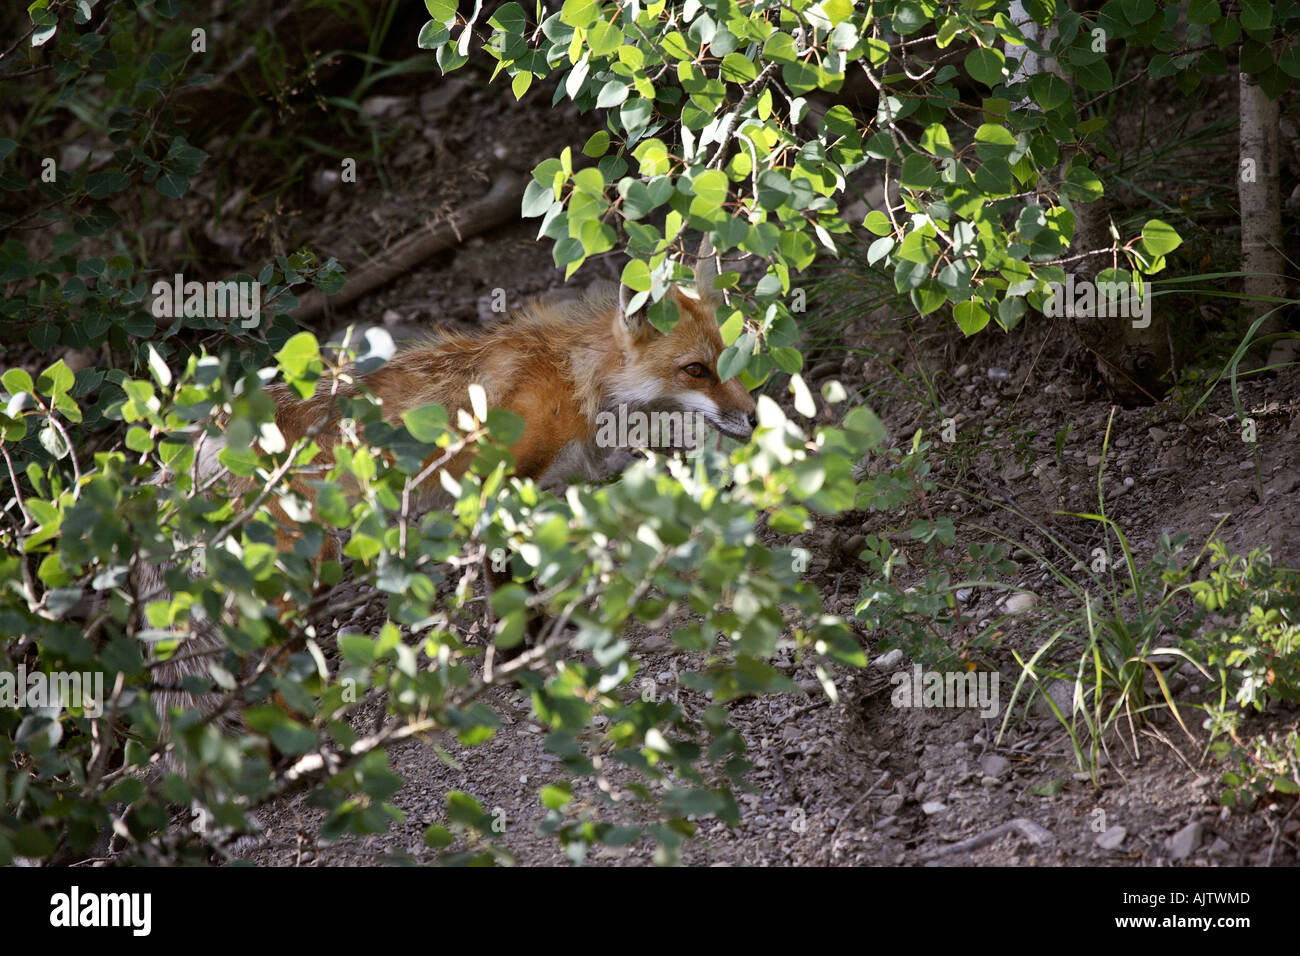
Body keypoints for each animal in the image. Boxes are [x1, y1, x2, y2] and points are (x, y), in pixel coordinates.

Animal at [142, 251, 757, 733]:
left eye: (730, 357)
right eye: (696, 370)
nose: (755, 418)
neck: (577, 378)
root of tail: (208, 430)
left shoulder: (541, 489)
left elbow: (530, 582)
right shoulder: (501, 484)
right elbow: (507, 587)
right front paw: (513, 658)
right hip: (306, 563)